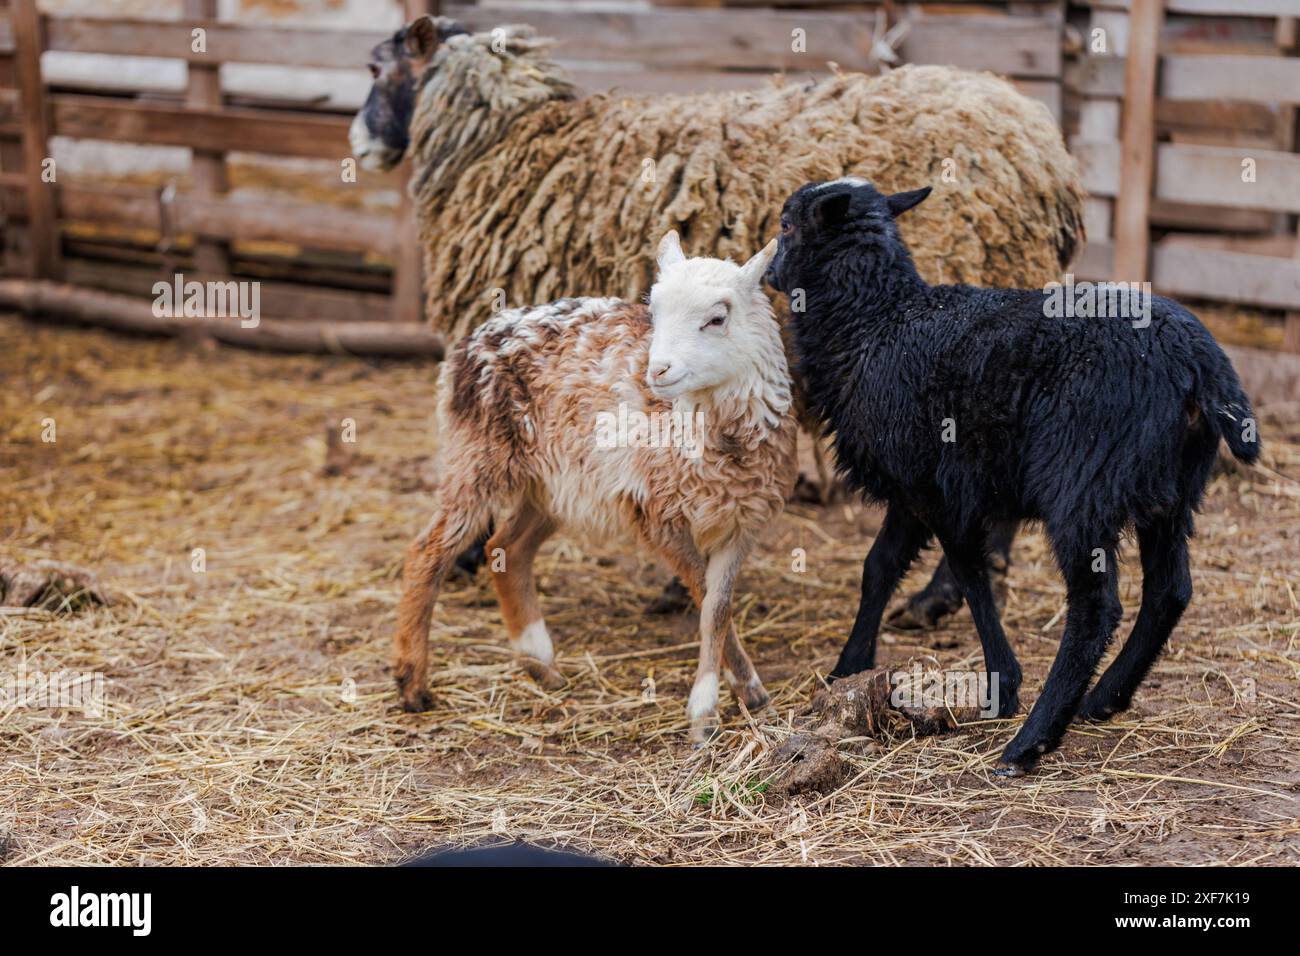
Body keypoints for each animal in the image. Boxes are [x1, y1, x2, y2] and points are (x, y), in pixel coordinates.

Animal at [351, 14, 1087, 627]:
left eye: (377, 67)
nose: (358, 143)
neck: (504, 145)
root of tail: (1047, 156)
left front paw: (471, 553)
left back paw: (936, 599)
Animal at [393, 234, 797, 744]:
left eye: (717, 318)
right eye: (654, 311)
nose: (656, 371)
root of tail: (471, 338)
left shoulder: (742, 521)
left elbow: (717, 609)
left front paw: (749, 693)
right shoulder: (655, 512)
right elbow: (704, 597)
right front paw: (706, 710)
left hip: (551, 482)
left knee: (506, 548)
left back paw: (539, 664)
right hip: (476, 457)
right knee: (426, 552)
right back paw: (412, 684)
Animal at [765, 178, 1261, 775]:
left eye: (787, 225)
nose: (767, 274)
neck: (875, 323)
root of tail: (1200, 359)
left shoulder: (941, 490)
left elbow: (968, 573)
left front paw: (1003, 683)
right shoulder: (912, 486)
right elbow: (879, 567)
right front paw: (850, 664)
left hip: (1083, 484)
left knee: (1096, 608)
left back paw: (1031, 741)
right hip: (1170, 488)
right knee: (1170, 590)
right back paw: (1105, 698)